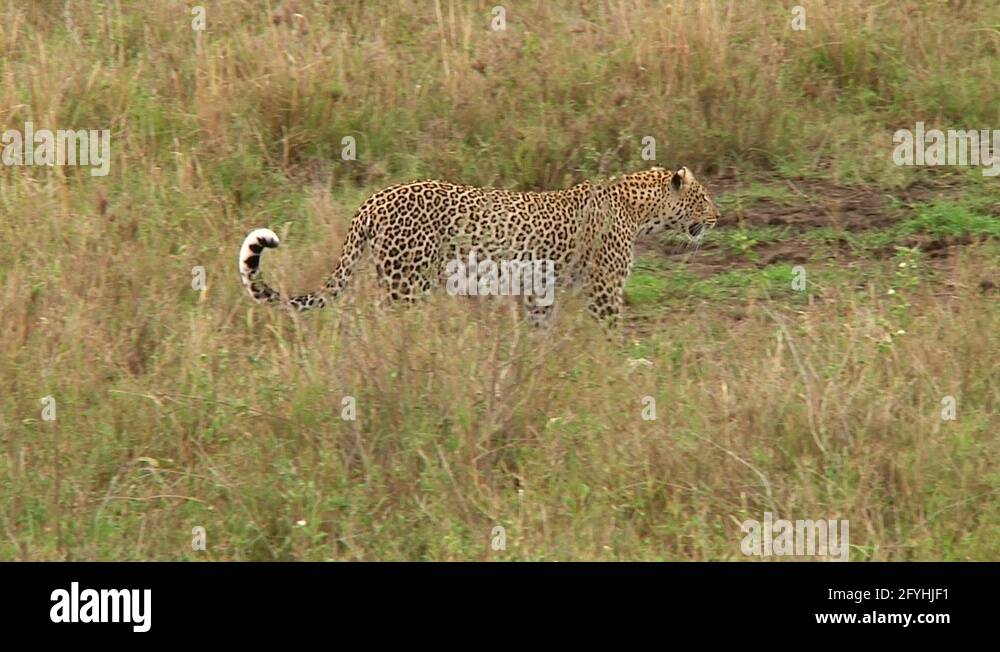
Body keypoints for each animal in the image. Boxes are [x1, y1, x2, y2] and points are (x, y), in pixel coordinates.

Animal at [238, 166, 720, 326]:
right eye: (704, 197)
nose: (718, 217)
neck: (639, 208)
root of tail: (374, 200)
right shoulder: (604, 288)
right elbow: (611, 331)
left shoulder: (541, 291)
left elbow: (539, 329)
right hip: (407, 283)